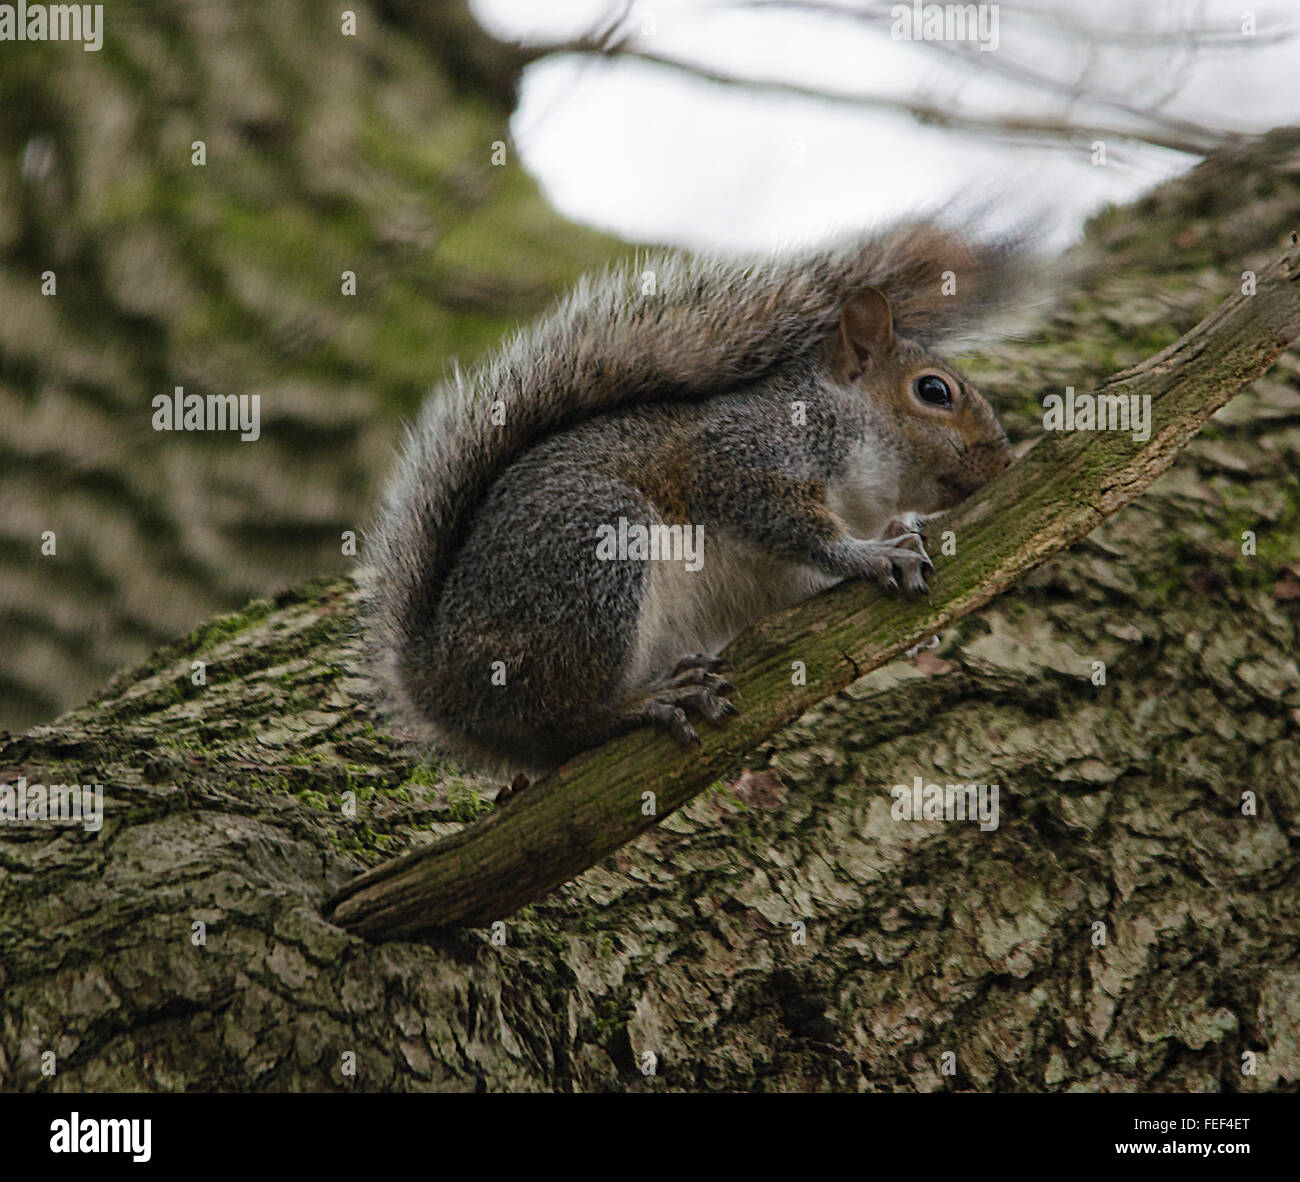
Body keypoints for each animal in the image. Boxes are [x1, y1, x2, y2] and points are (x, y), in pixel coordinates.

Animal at [361, 222, 1019, 780]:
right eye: (933, 391)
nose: (1004, 463)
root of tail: (443, 683)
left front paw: (908, 561)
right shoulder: (745, 455)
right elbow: (793, 524)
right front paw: (874, 555)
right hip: (592, 552)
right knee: (563, 720)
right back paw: (648, 701)